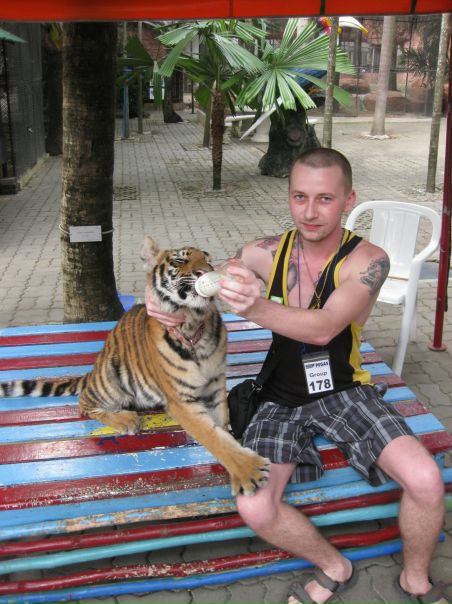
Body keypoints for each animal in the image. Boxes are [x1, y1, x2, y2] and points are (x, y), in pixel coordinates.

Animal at [0, 237, 270, 496]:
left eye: (208, 259)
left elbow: (221, 426)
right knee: (85, 403)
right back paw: (126, 420)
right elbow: (212, 435)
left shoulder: (215, 385)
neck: (193, 323)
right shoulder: (181, 401)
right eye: (180, 260)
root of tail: (94, 369)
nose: (206, 271)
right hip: (110, 378)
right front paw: (249, 470)